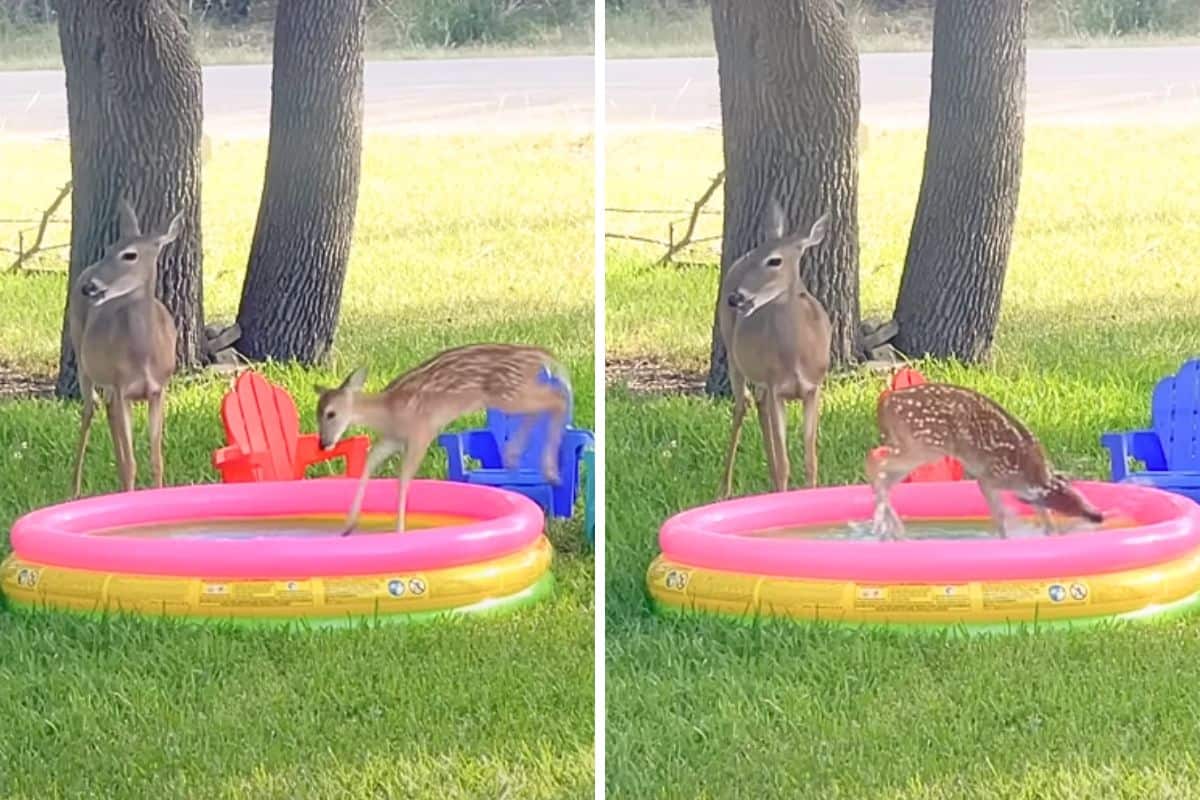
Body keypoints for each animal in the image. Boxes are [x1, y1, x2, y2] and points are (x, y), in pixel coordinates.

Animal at [69, 199, 182, 498]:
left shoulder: (158, 389)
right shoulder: (123, 388)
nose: (90, 287)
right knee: (90, 409)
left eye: (130, 255)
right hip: (82, 356)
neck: (144, 356)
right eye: (108, 249)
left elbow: (156, 459)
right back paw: (74, 490)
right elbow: (133, 462)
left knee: (107, 408)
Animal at [314, 343, 572, 535]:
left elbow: (403, 480)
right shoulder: (393, 439)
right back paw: (514, 455)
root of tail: (541, 355)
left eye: (331, 413)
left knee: (557, 398)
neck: (389, 411)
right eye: (317, 414)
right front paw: (348, 526)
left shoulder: (421, 432)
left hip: (509, 392)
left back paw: (550, 471)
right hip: (512, 394)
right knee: (543, 406)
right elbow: (369, 462)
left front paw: (399, 532)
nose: (324, 443)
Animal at [717, 199, 831, 498]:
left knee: (757, 402)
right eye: (757, 253)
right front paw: (783, 493)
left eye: (774, 260)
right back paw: (724, 488)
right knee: (742, 405)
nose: (736, 297)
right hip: (733, 354)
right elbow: (785, 463)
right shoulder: (776, 386)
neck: (797, 354)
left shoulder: (813, 388)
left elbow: (810, 460)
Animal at [866, 382, 1104, 540]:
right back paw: (885, 525)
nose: (1098, 516)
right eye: (1070, 507)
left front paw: (1050, 533)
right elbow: (999, 515)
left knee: (885, 477)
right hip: (924, 446)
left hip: (912, 447)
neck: (1028, 473)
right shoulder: (988, 477)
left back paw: (893, 530)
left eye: (1081, 496)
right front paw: (1004, 539)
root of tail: (884, 402)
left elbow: (1044, 517)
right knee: (874, 458)